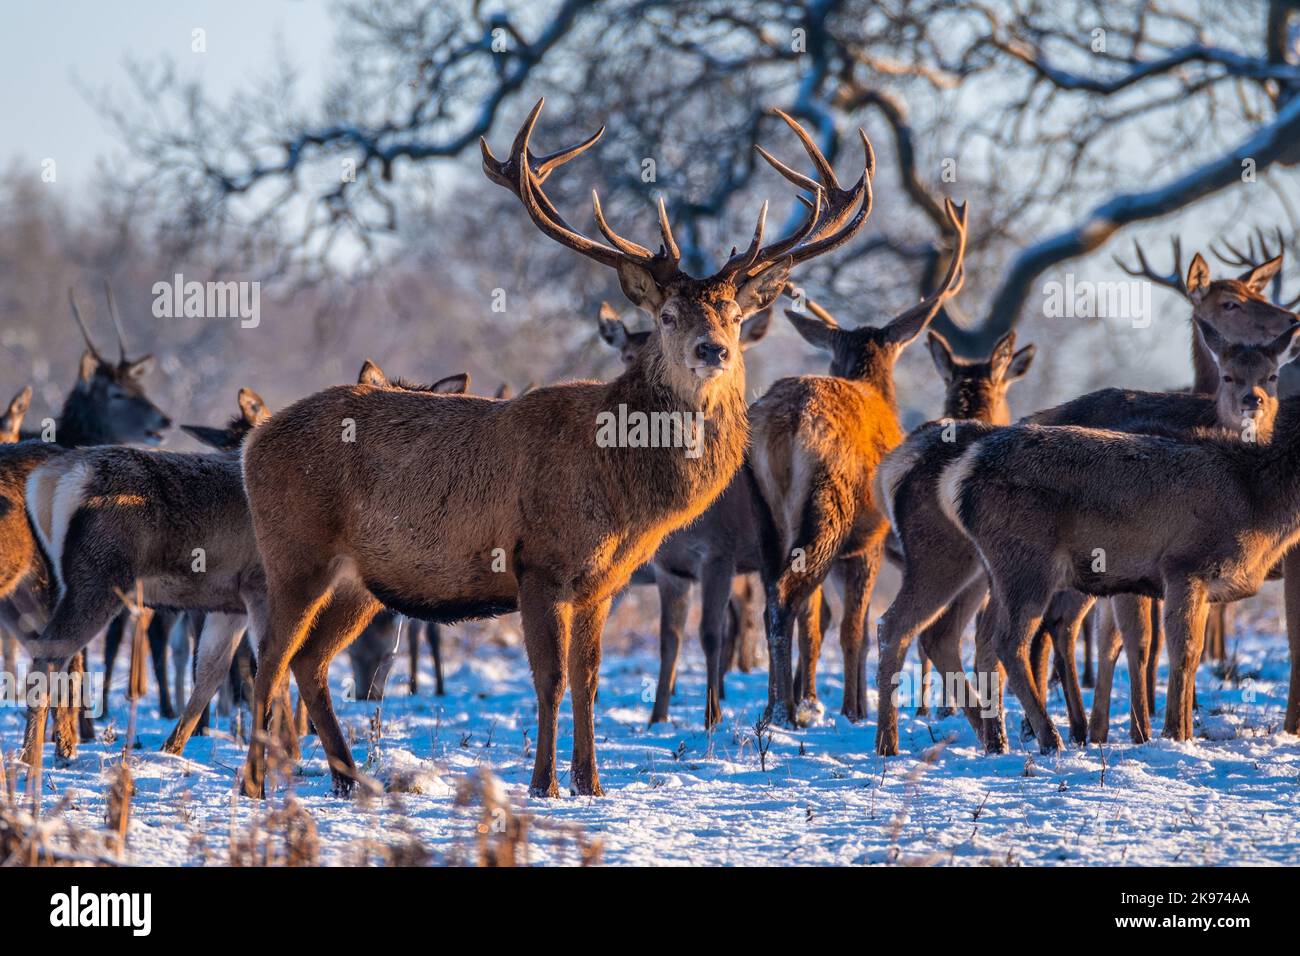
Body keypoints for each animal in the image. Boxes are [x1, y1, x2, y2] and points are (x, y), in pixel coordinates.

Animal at [235, 98, 874, 798]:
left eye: (734, 313)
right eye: (668, 315)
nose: (714, 351)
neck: (620, 482)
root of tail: (253, 444)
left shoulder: (603, 580)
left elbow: (589, 680)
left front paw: (591, 783)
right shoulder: (536, 561)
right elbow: (551, 679)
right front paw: (543, 784)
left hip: (360, 579)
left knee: (310, 662)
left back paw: (349, 781)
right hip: (295, 551)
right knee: (270, 659)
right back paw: (254, 787)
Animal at [747, 198, 966, 726]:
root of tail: (786, 421)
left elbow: (819, 623)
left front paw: (823, 700)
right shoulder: (870, 539)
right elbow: (855, 629)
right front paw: (853, 709)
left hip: (762, 510)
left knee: (776, 596)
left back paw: (773, 708)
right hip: (830, 506)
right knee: (786, 596)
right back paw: (783, 711)